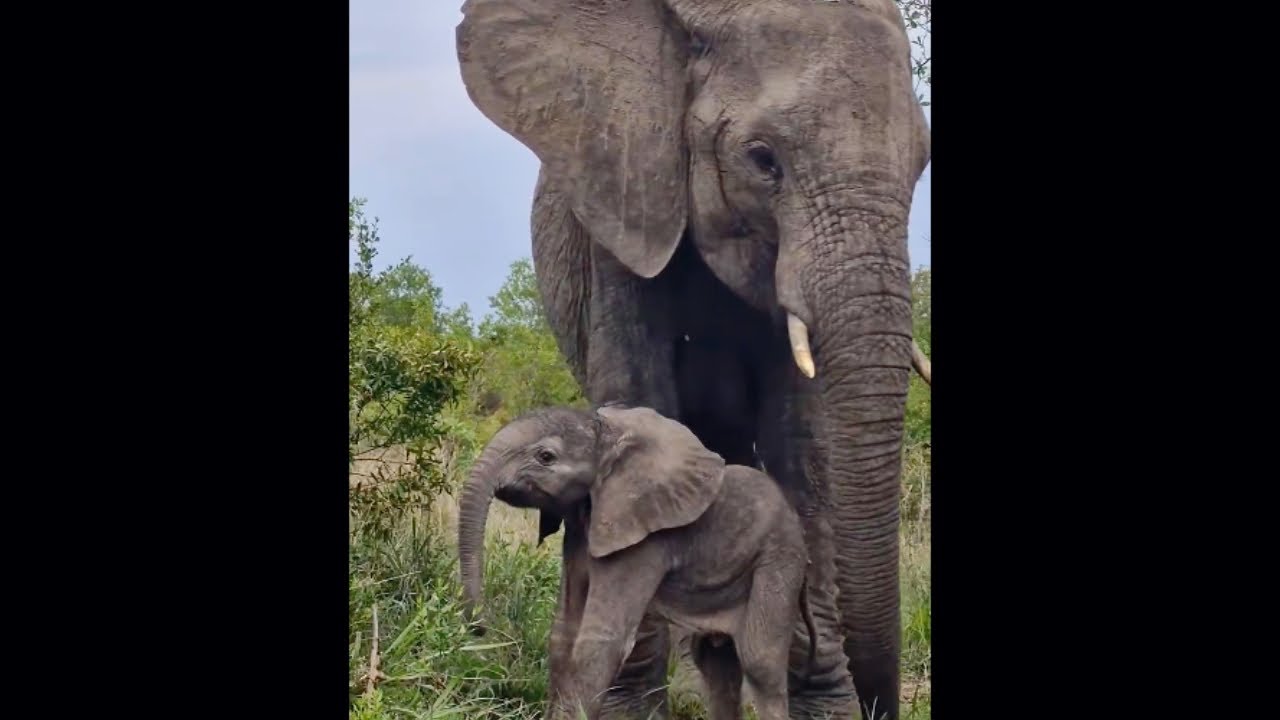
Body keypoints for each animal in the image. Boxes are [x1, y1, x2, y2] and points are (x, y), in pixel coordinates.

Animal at [457, 404, 819, 720]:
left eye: (545, 457)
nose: (482, 629)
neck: (609, 437)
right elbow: (563, 634)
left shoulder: (644, 540)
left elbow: (600, 641)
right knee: (716, 663)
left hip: (779, 559)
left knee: (760, 662)